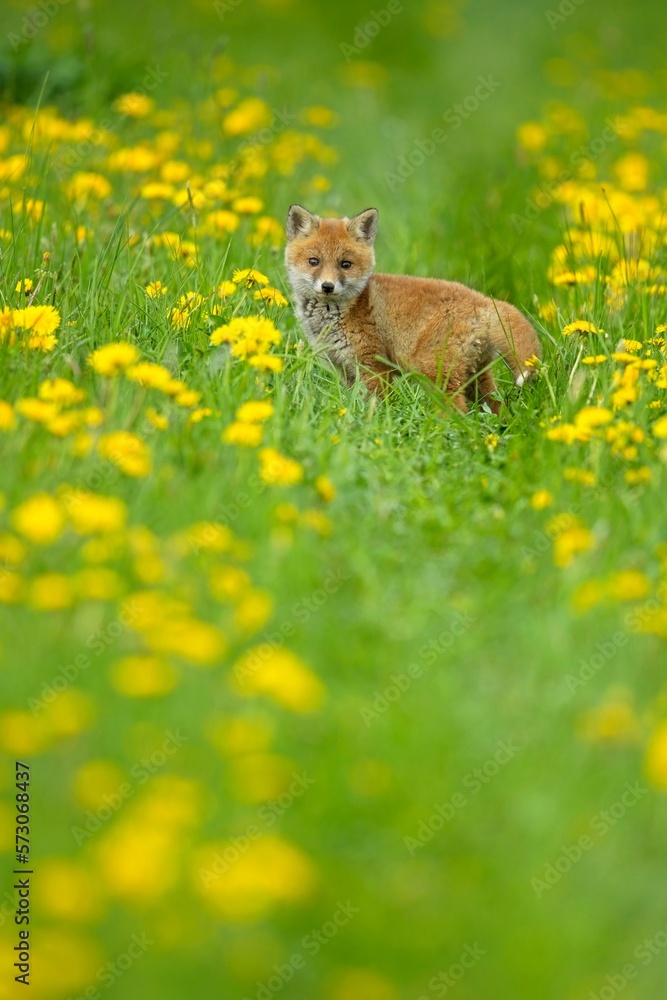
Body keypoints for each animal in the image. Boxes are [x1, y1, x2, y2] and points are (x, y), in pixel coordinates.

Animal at [284, 204, 540, 413]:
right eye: (314, 261)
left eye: (345, 264)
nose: (327, 286)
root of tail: (485, 301)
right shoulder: (343, 368)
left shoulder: (373, 364)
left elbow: (378, 405)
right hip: (475, 377)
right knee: (496, 407)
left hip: (435, 372)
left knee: (457, 412)